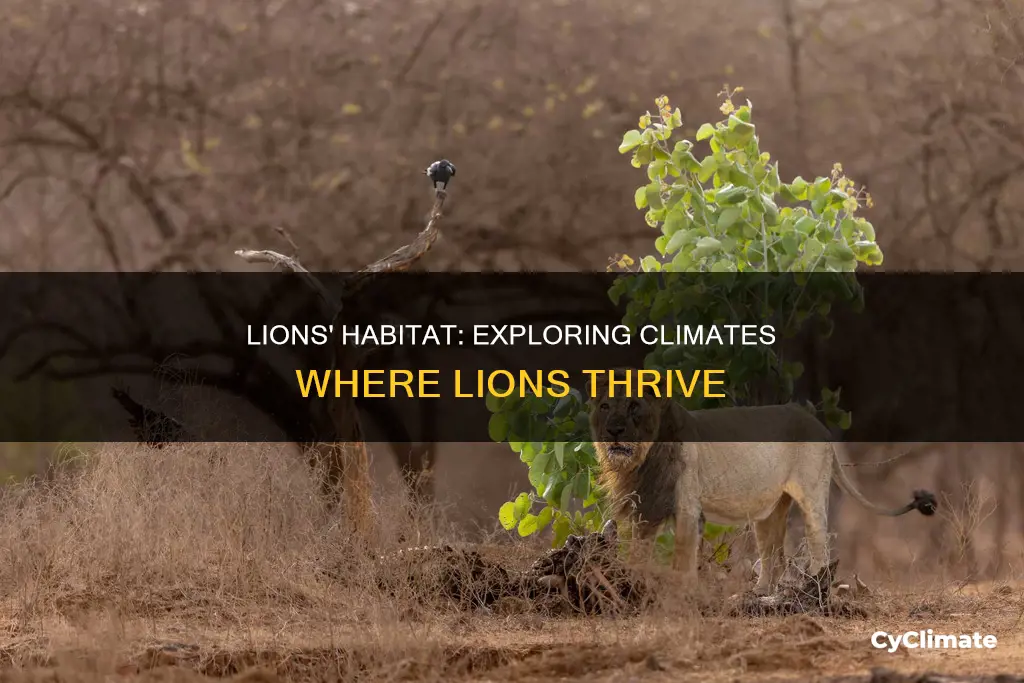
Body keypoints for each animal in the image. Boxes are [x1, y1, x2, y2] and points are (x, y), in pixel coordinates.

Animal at [588, 369, 937, 596]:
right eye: (604, 407)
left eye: (633, 406)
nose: (614, 430)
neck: (641, 460)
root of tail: (816, 422)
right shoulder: (644, 508)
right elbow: (638, 553)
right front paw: (635, 588)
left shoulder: (687, 507)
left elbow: (682, 558)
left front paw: (680, 594)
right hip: (770, 509)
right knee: (773, 555)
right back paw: (759, 592)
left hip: (811, 495)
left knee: (819, 544)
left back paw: (815, 590)